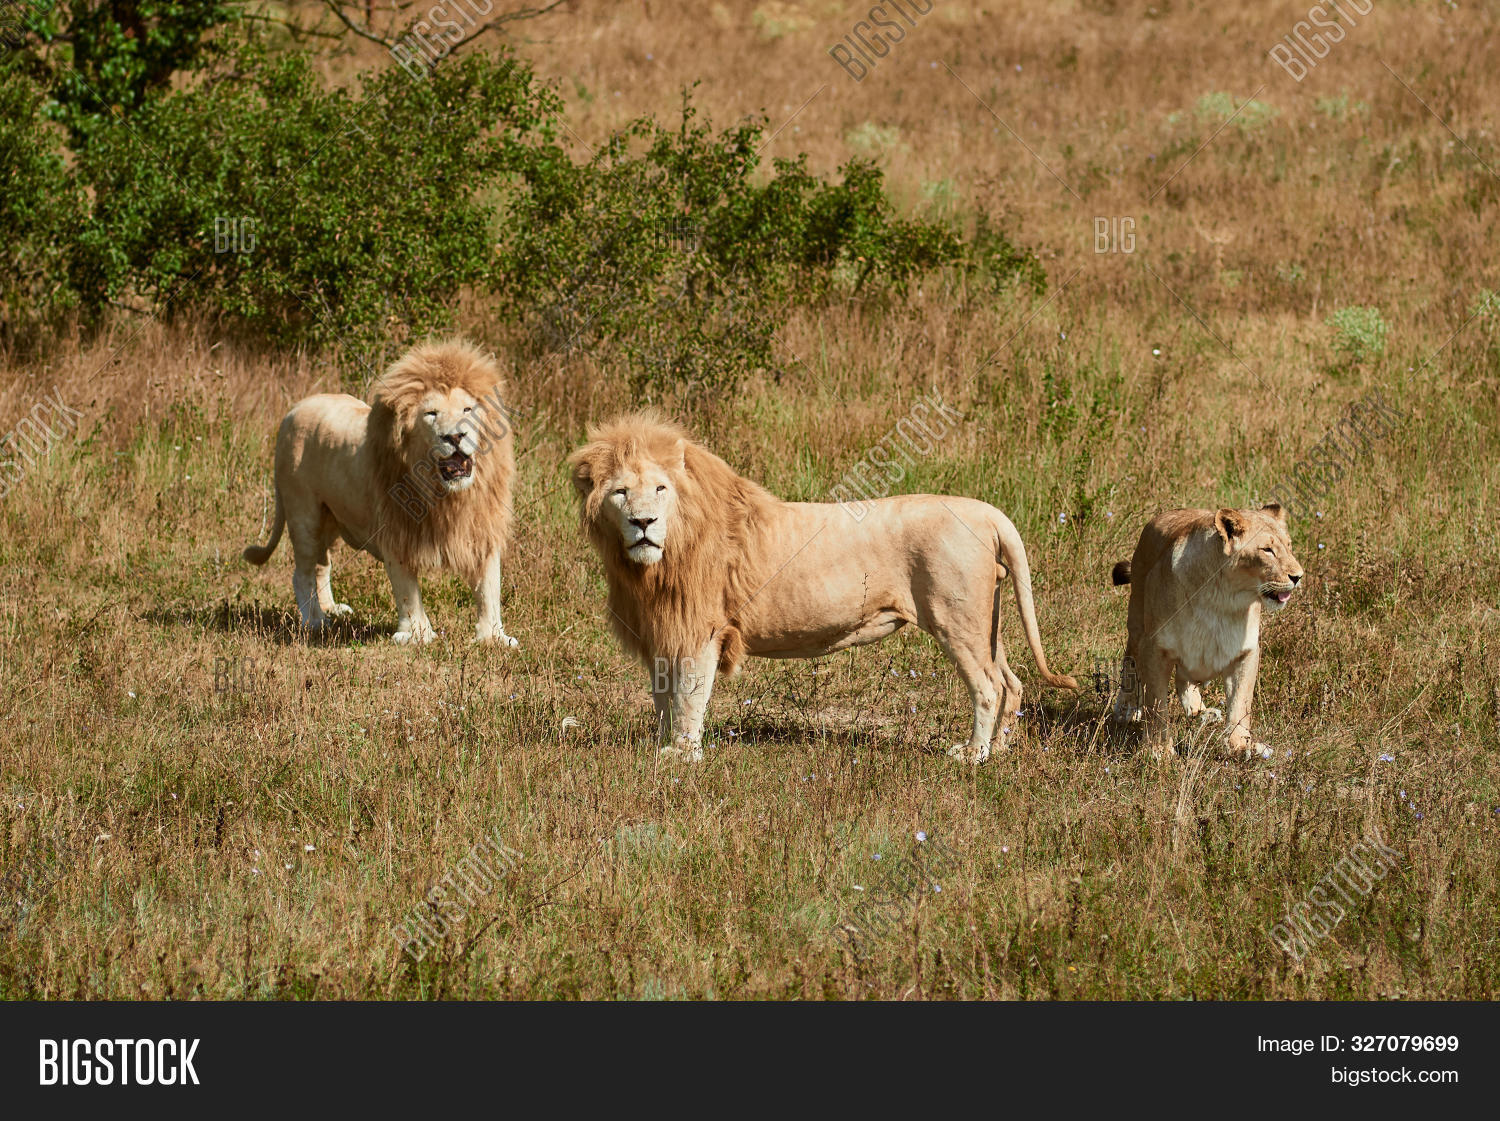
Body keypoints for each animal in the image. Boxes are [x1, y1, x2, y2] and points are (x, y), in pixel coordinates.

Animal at [243, 339, 519, 646]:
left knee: (321, 564)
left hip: (331, 517)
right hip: (303, 513)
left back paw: (332, 608)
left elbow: (489, 588)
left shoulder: (483, 528)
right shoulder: (396, 531)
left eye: (468, 409)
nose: (455, 436)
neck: (448, 495)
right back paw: (315, 621)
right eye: (431, 413)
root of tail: (294, 410)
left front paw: (493, 638)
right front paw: (416, 635)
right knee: (301, 571)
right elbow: (407, 591)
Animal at [567, 413, 1078, 764]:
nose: (643, 523)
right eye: (620, 493)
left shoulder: (701, 631)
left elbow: (689, 695)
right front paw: (661, 747)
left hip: (957, 620)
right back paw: (1002, 751)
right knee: (1011, 682)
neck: (649, 568)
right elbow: (662, 697)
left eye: (659, 489)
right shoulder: (661, 632)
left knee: (988, 686)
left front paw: (684, 756)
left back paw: (973, 755)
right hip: (985, 622)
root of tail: (988, 512)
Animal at [1109, 503, 1303, 761]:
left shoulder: (1246, 651)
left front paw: (1240, 745)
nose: (1298, 576)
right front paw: (1159, 749)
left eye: (1289, 547)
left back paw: (1199, 710)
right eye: (1267, 550)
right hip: (1137, 620)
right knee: (1131, 659)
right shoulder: (1155, 647)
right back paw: (1127, 708)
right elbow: (1157, 703)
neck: (1223, 598)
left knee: (1185, 676)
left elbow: (1241, 702)